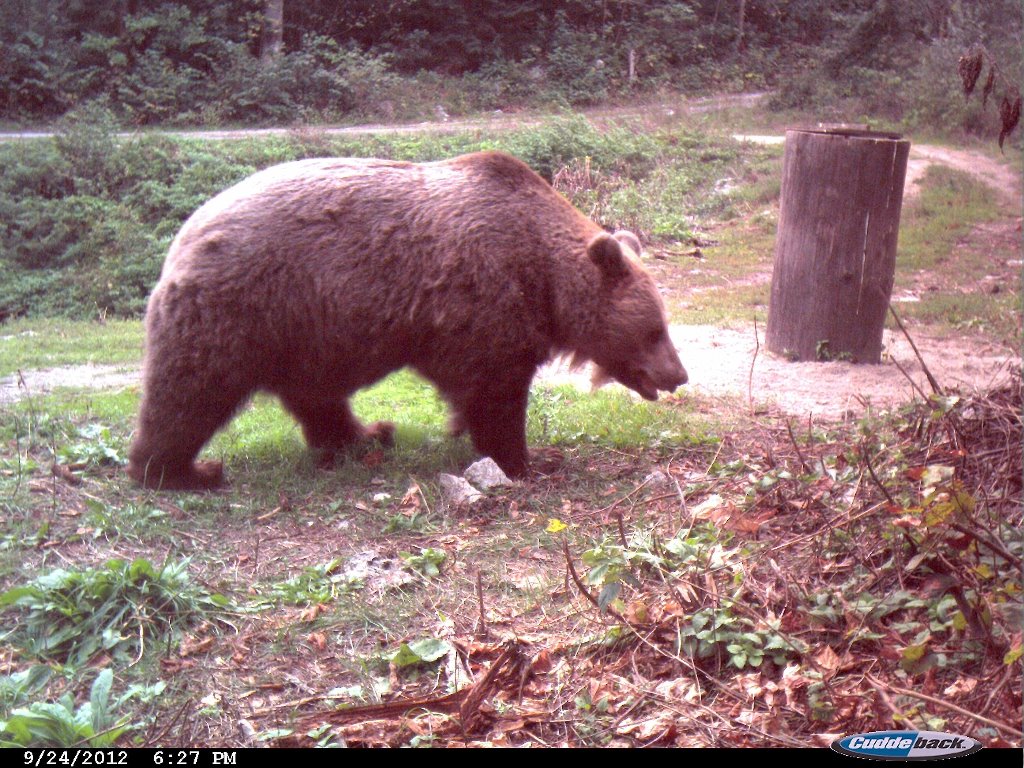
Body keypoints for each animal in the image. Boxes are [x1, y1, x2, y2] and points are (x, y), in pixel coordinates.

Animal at [127, 151, 688, 490]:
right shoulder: (483, 301)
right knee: (191, 390)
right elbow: (495, 394)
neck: (546, 282)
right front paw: (522, 461)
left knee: (315, 395)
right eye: (655, 329)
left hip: (306, 330)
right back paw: (182, 470)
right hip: (245, 306)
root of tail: (184, 235)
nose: (678, 375)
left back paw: (367, 435)